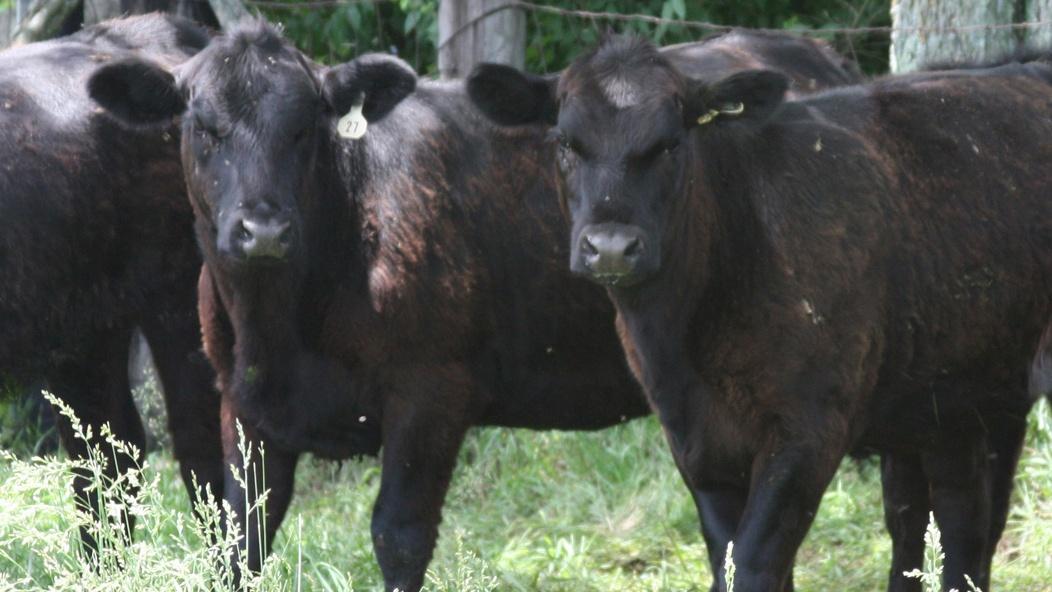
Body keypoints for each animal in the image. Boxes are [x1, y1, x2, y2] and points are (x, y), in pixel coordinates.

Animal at [86, 23, 863, 591]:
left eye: (308, 126)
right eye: (203, 126)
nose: (264, 229)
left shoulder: (432, 392)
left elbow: (398, 538)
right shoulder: (243, 405)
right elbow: (239, 540)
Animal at [468, 36, 1052, 592]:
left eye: (670, 143)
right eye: (566, 143)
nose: (611, 248)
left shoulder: (809, 428)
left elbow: (751, 565)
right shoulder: (695, 440)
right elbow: (727, 560)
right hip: (954, 396)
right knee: (950, 523)